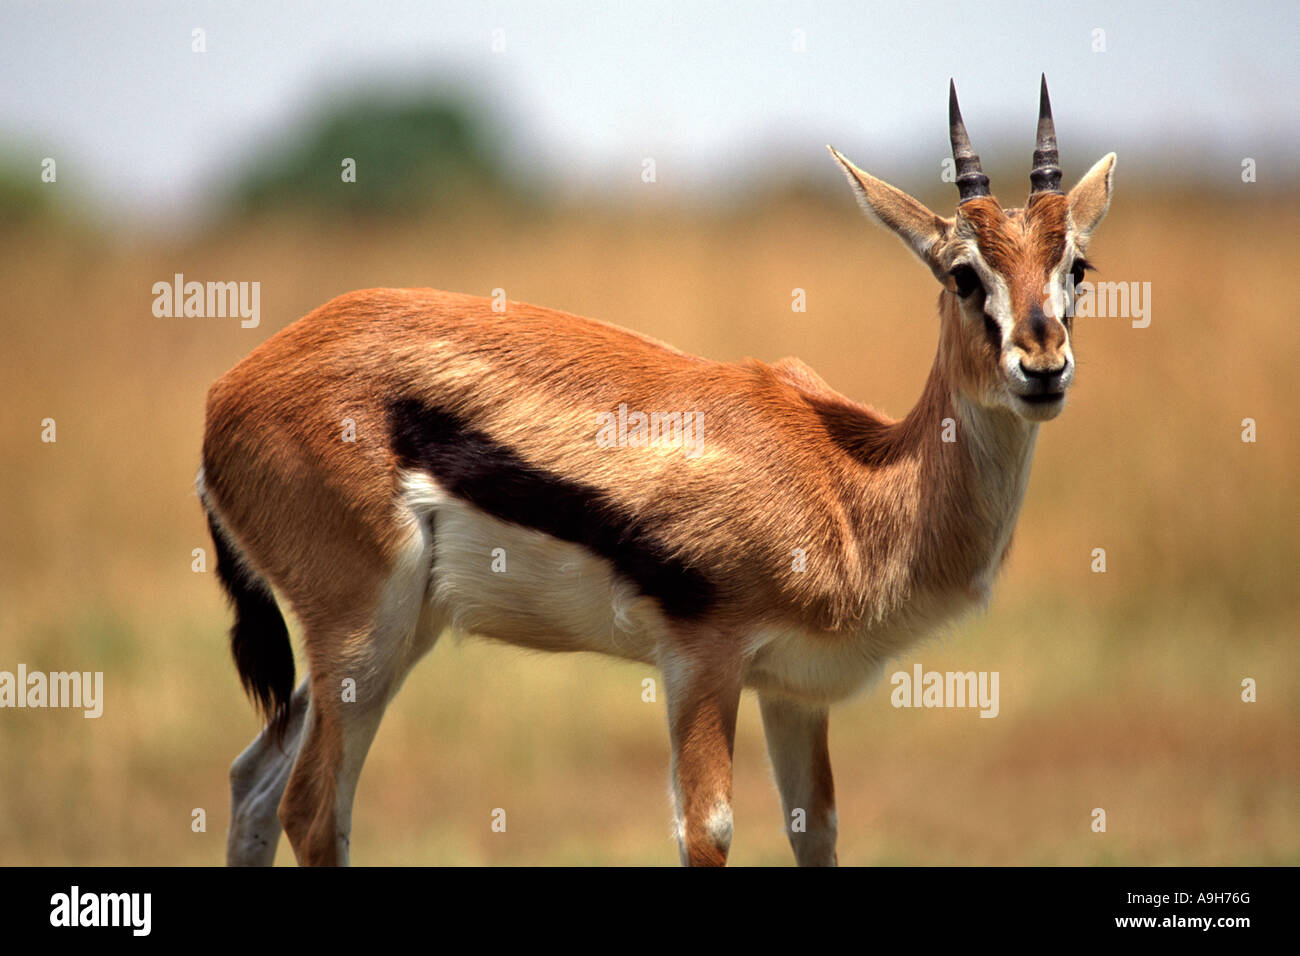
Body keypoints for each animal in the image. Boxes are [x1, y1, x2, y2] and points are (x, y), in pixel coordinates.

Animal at [200, 76, 1114, 867]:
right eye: (963, 275)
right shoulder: (702, 661)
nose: (1042, 367)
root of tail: (226, 391)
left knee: (251, 783)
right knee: (311, 807)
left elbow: (817, 833)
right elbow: (707, 832)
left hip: (394, 635)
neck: (853, 485)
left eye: (1075, 266)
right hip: (363, 631)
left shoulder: (795, 692)